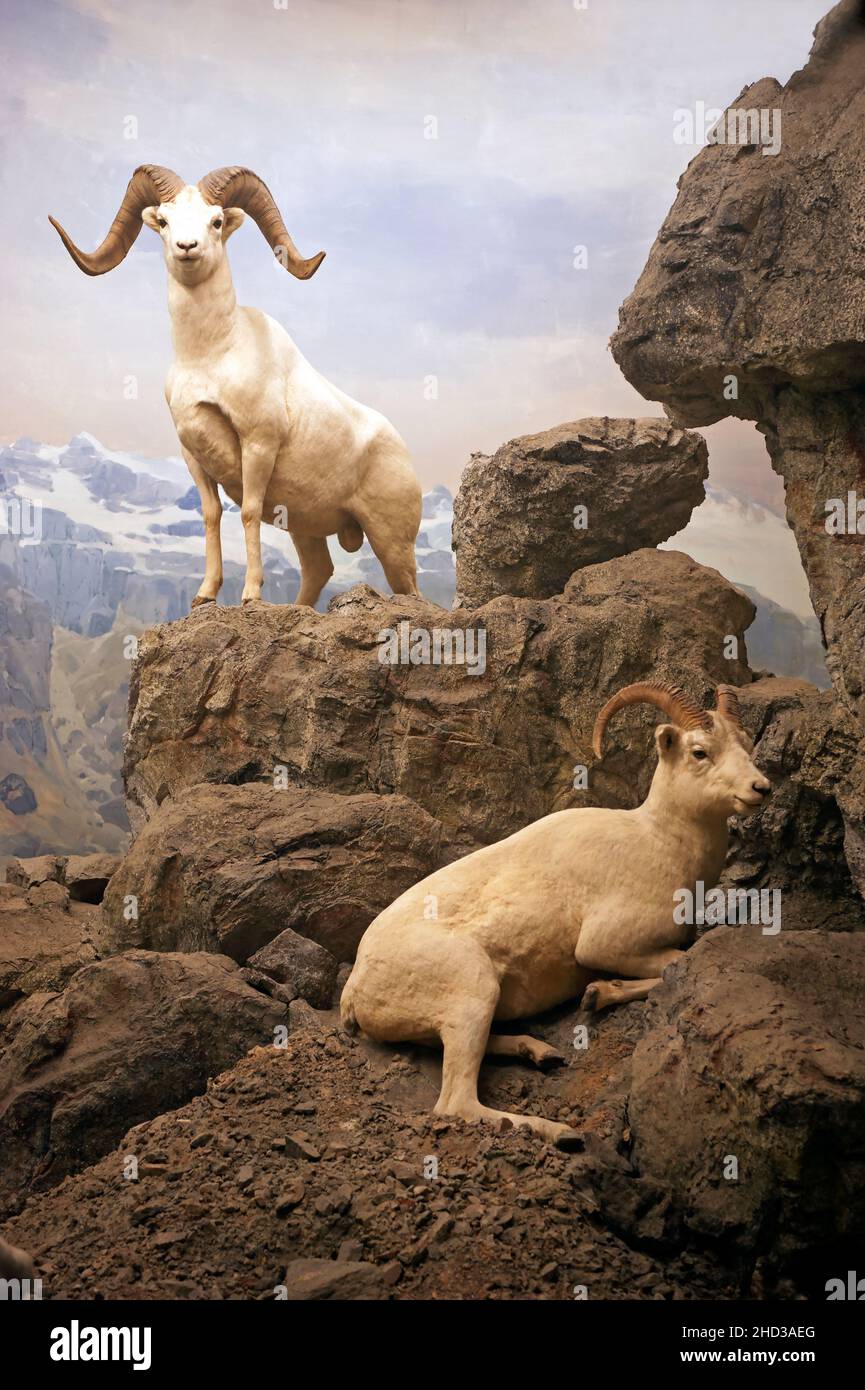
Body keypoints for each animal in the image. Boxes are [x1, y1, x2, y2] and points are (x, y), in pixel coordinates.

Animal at [50, 165, 422, 608]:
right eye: (165, 221)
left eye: (216, 221)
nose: (187, 247)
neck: (210, 357)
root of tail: (403, 453)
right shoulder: (193, 455)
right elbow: (211, 516)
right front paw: (205, 595)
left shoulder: (258, 445)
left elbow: (248, 512)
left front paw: (250, 596)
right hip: (305, 529)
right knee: (318, 570)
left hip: (392, 541)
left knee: (409, 588)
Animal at [340, 681, 771, 1148]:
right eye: (699, 751)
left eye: (745, 744)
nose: (761, 787)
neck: (660, 842)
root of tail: (356, 988)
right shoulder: (607, 946)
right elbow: (678, 962)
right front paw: (599, 993)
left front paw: (598, 993)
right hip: (473, 989)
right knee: (457, 1103)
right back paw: (559, 1131)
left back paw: (540, 1052)